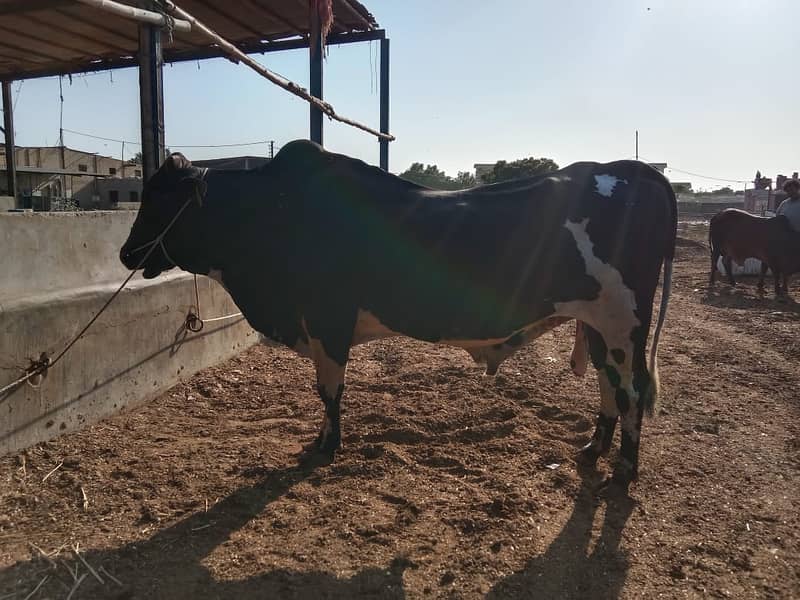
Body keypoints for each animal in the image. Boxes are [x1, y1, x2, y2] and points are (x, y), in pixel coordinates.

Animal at [120, 140, 676, 487]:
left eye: (159, 197)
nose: (126, 254)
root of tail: (630, 168)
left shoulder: (328, 320)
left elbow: (329, 390)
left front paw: (327, 444)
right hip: (599, 323)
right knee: (609, 385)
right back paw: (593, 450)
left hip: (622, 319)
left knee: (630, 390)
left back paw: (625, 470)